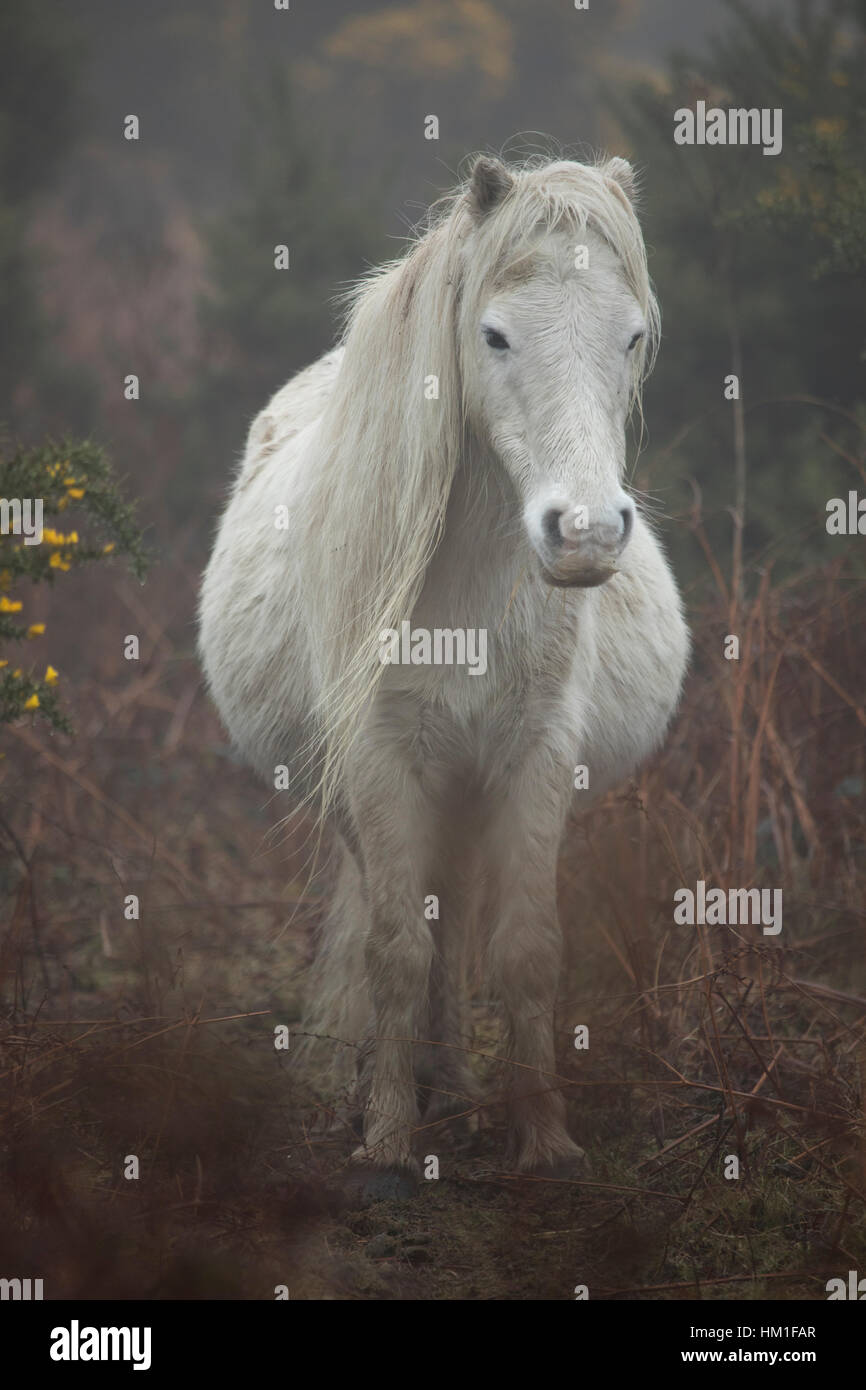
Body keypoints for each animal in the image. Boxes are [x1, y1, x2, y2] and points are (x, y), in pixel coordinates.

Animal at [198, 154, 690, 1185]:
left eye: (631, 337)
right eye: (495, 336)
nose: (586, 534)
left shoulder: (536, 756)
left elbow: (525, 951)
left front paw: (543, 1139)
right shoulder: (382, 762)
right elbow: (394, 949)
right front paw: (386, 1137)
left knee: (457, 922)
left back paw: (456, 1089)